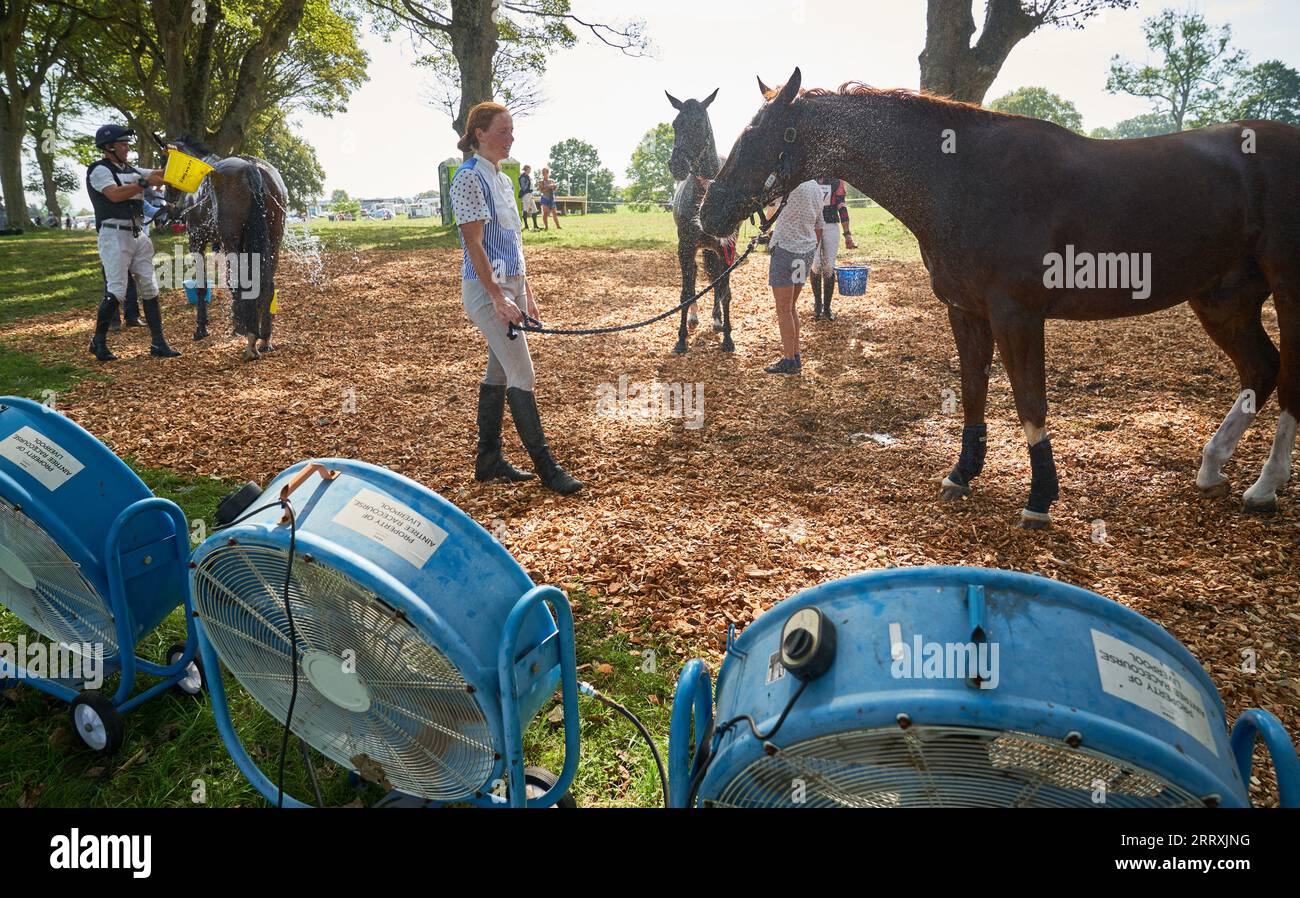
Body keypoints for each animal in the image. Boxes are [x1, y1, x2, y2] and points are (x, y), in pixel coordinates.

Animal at [163, 137, 288, 362]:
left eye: (163, 159)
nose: (168, 195)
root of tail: (251, 167)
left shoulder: (197, 241)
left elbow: (203, 285)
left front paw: (201, 328)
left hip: (233, 243)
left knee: (243, 283)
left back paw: (250, 340)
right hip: (273, 241)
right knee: (266, 284)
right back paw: (264, 337)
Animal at [666, 89, 738, 354]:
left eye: (699, 124)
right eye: (675, 124)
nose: (676, 166)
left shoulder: (727, 248)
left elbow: (724, 290)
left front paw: (728, 338)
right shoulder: (685, 247)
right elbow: (686, 292)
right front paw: (681, 339)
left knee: (715, 281)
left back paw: (717, 320)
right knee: (695, 278)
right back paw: (694, 317)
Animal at [700, 68, 1300, 527]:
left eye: (754, 135)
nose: (709, 211)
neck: (965, 178)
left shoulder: (1018, 316)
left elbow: (1030, 402)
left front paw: (1040, 498)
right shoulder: (966, 312)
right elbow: (973, 394)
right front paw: (962, 474)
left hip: (1288, 294)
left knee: (1289, 381)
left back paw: (1265, 486)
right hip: (1221, 299)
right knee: (1261, 368)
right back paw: (1212, 467)